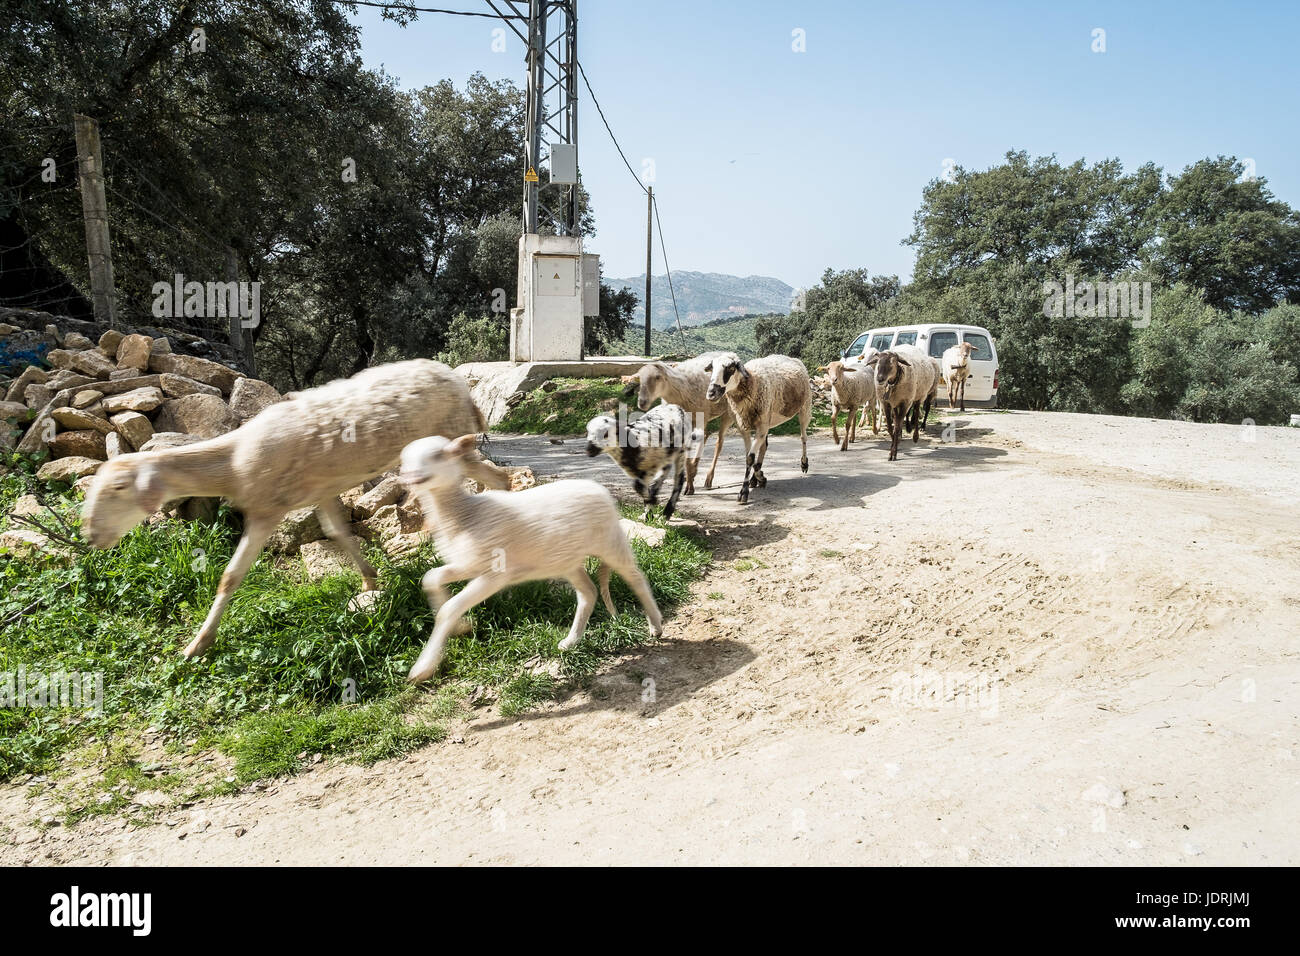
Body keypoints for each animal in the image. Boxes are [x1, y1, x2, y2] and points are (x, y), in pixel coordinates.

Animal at [81, 359, 510, 660]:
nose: (90, 535)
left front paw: (198, 644)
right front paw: (369, 581)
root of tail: (459, 382)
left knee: (499, 479)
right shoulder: (320, 491)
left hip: (453, 436)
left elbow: (230, 577)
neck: (232, 464)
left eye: (118, 488)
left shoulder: (266, 509)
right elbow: (337, 532)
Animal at [399, 433, 663, 683]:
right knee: (588, 592)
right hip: (566, 559)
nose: (410, 476)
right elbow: (431, 577)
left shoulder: (496, 573)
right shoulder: (468, 564)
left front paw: (424, 667)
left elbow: (450, 608)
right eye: (404, 461)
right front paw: (461, 626)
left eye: (437, 455)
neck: (464, 514)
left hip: (610, 542)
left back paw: (655, 625)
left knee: (635, 577)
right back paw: (571, 641)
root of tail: (599, 489)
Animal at [622, 353, 734, 493]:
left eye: (657, 377)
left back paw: (708, 478)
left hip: (727, 413)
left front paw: (689, 484)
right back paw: (694, 470)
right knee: (706, 435)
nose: (642, 402)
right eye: (640, 380)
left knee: (719, 443)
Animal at [704, 352, 811, 503]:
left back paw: (804, 463)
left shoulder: (761, 427)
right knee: (764, 447)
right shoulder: (744, 427)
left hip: (805, 407)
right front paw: (759, 477)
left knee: (803, 437)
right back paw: (756, 478)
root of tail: (789, 357)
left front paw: (744, 492)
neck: (753, 381)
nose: (711, 393)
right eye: (712, 368)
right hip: (767, 421)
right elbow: (750, 456)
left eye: (731, 368)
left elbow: (750, 458)